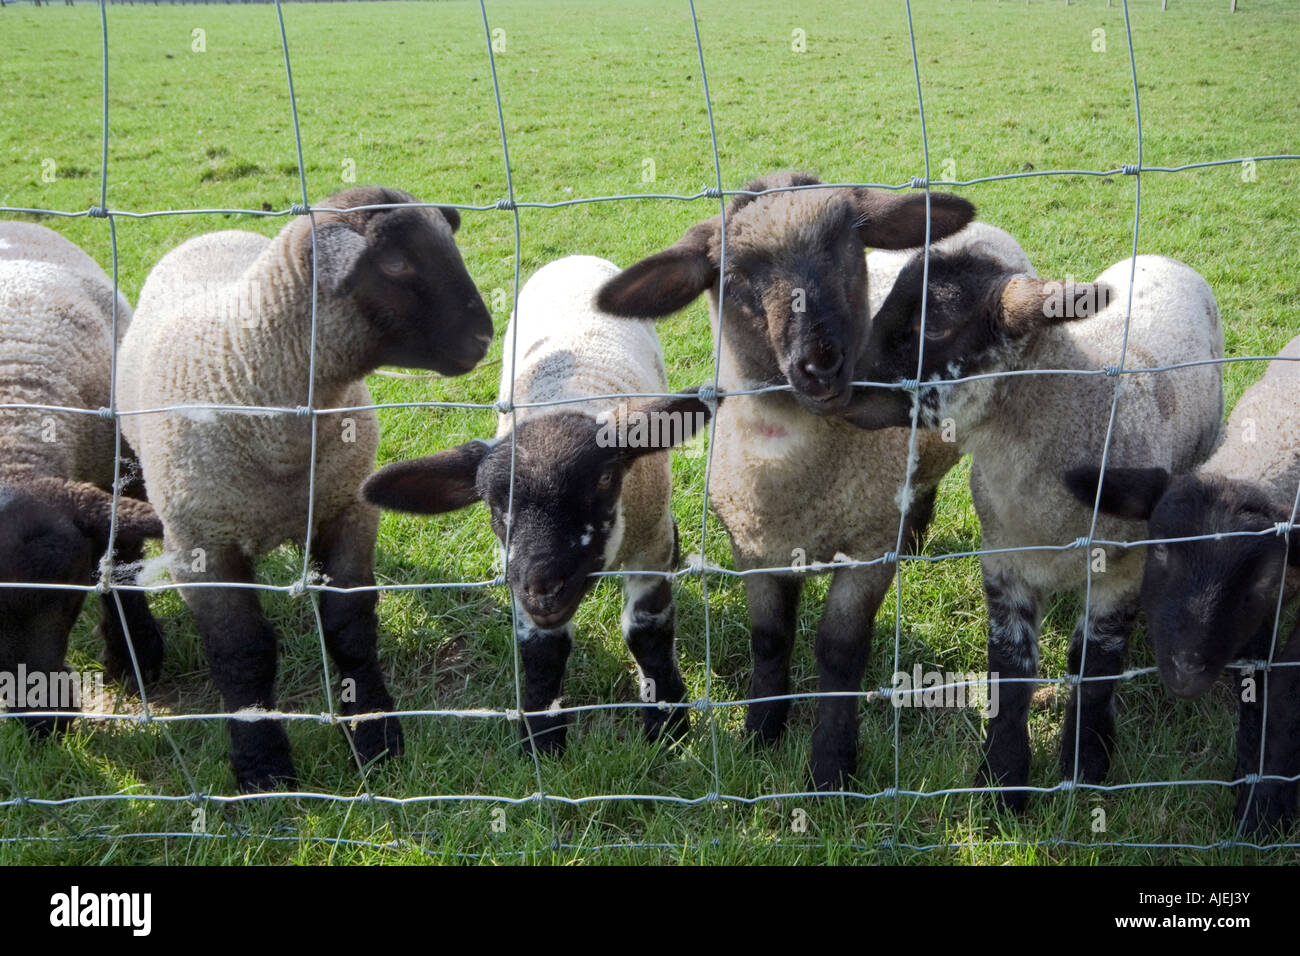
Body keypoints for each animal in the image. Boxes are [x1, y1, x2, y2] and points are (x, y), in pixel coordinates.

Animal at [117, 186, 495, 791]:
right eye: (394, 262)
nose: (482, 338)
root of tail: (212, 231)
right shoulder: (201, 547)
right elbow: (241, 653)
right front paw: (262, 766)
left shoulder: (348, 511)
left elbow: (350, 627)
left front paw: (375, 733)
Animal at [362, 255, 710, 754]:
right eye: (492, 502)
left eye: (604, 478)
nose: (543, 586)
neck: (563, 400)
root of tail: (574, 257)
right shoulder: (517, 572)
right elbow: (542, 651)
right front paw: (542, 740)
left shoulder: (651, 545)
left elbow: (648, 633)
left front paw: (668, 723)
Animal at [593, 171, 977, 790]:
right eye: (733, 276)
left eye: (848, 244)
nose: (821, 363)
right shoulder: (754, 547)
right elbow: (770, 639)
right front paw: (761, 733)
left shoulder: (867, 551)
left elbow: (840, 651)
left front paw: (831, 766)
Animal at [842, 249, 1225, 808]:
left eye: (933, 327)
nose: (834, 389)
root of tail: (1161, 257)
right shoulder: (1004, 560)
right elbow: (1011, 668)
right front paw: (1002, 781)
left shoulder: (1120, 572)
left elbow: (1095, 667)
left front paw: (1086, 765)